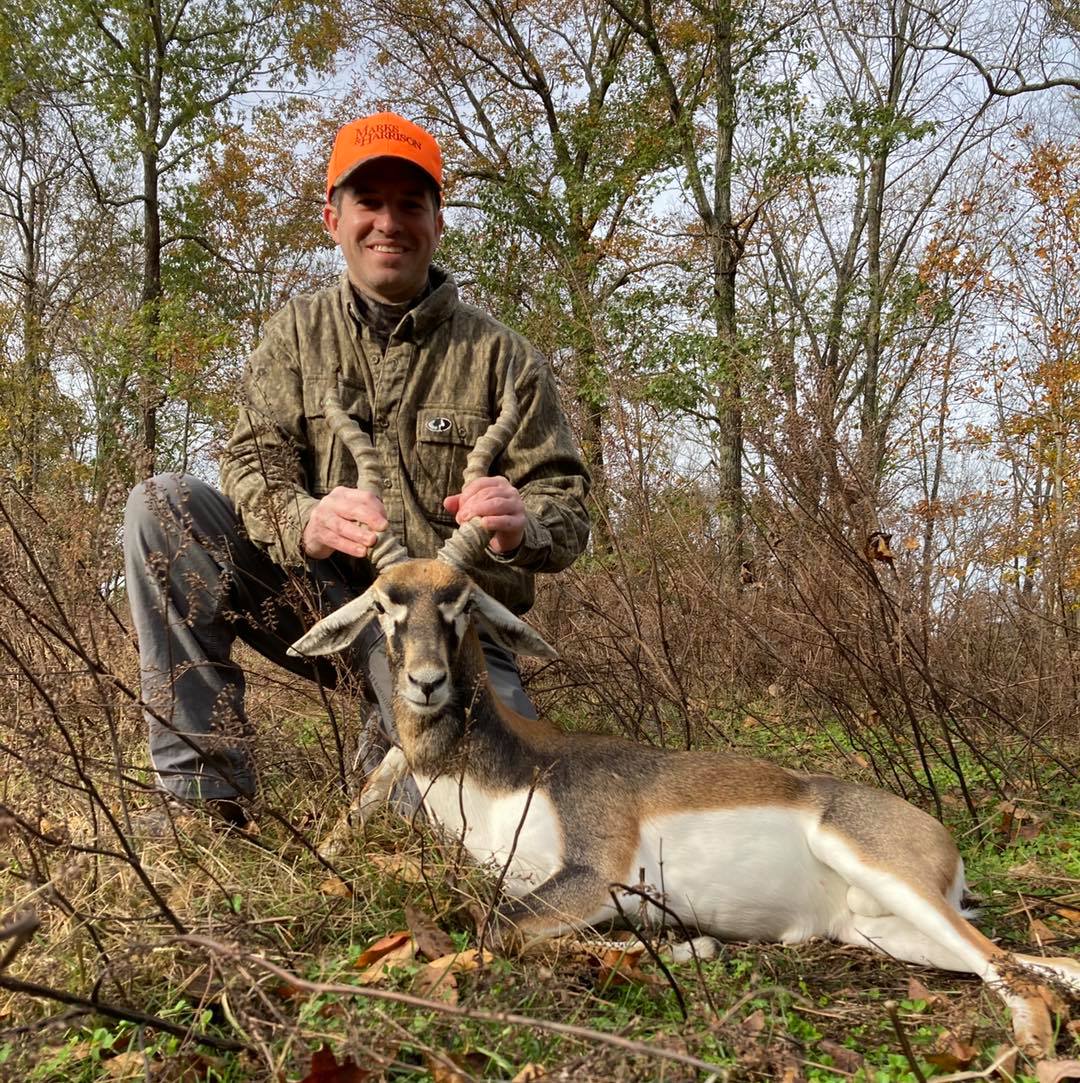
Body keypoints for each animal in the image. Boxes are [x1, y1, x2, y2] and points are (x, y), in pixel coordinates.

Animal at [291, 372, 1079, 1057]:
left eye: (458, 602)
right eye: (386, 602)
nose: (425, 684)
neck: (503, 775)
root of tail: (940, 838)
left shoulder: (596, 871)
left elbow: (495, 929)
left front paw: (691, 941)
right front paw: (688, 941)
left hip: (890, 877)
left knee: (1018, 976)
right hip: (878, 928)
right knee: (1045, 965)